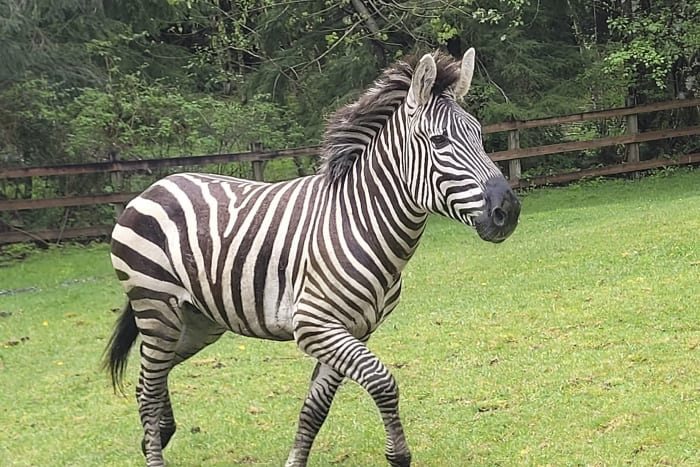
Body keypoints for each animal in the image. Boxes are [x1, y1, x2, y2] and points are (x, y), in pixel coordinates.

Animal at [104, 48, 520, 467]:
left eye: (479, 135)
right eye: (439, 141)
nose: (509, 210)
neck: (361, 223)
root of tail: (154, 186)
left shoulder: (354, 330)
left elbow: (315, 409)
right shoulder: (314, 324)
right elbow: (382, 380)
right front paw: (399, 455)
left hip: (198, 320)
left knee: (151, 377)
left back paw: (159, 433)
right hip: (157, 307)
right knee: (148, 387)